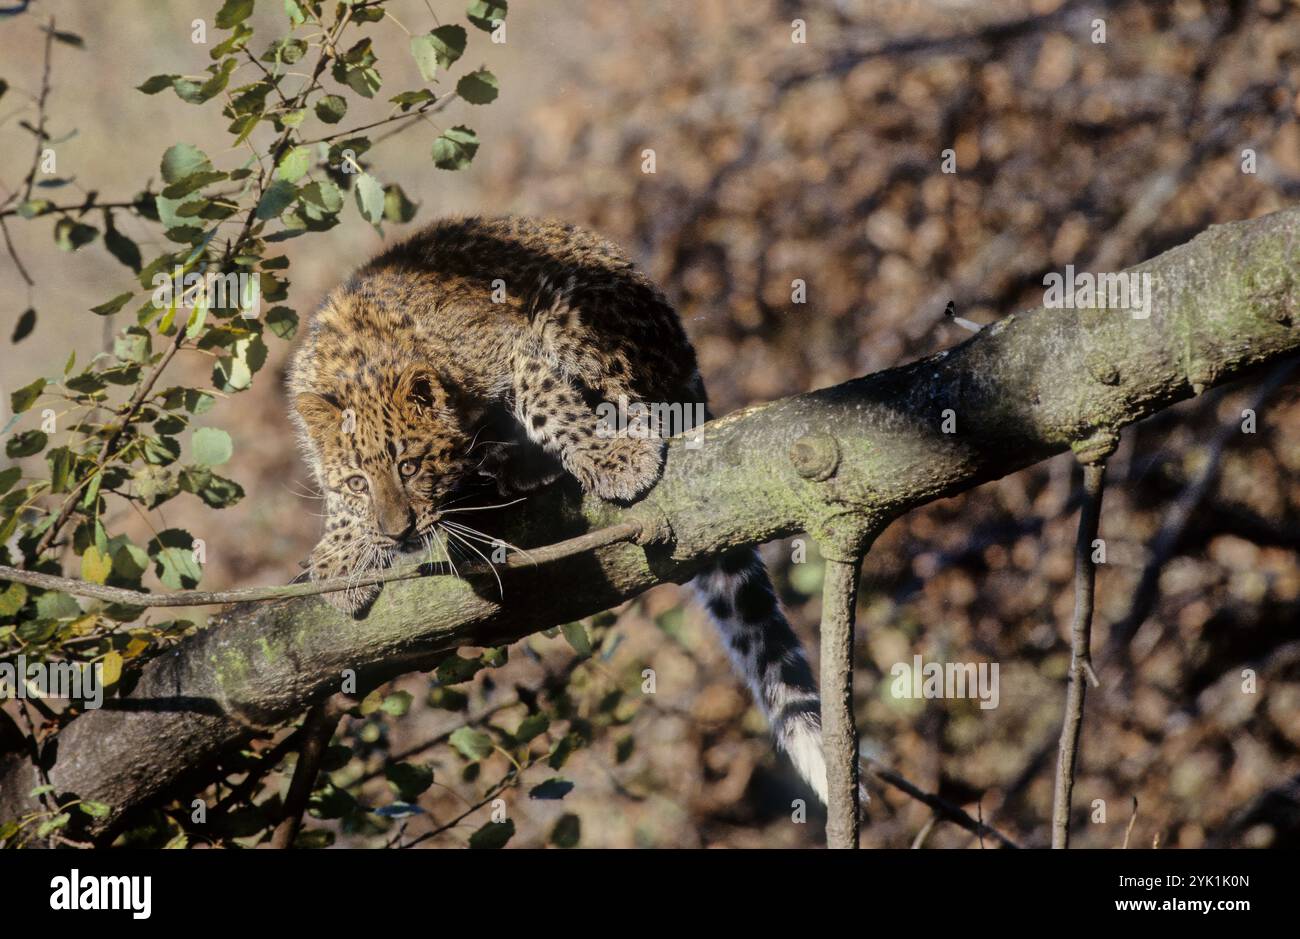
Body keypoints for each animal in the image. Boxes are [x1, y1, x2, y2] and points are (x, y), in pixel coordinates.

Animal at [287, 216, 831, 802]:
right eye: (359, 482)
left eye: (409, 467)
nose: (397, 532)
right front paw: (339, 558)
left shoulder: (513, 346)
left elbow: (546, 401)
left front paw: (614, 459)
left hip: (581, 311)